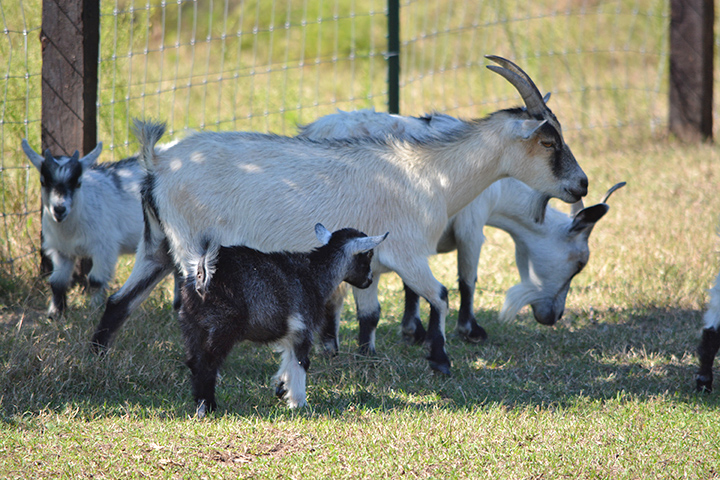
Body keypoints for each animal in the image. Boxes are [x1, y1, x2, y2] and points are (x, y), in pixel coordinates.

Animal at [21, 140, 147, 318]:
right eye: (43, 181)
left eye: (78, 182)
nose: (59, 209)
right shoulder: (61, 251)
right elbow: (57, 282)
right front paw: (55, 313)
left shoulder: (104, 248)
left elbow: (95, 280)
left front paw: (94, 310)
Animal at [91, 55, 588, 375]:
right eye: (548, 141)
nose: (580, 184)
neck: (429, 174)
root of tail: (158, 162)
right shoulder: (409, 253)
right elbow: (442, 294)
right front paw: (441, 360)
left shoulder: (373, 261)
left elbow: (371, 314)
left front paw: (364, 359)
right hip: (192, 248)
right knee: (181, 304)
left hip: (158, 244)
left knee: (118, 301)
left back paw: (97, 359)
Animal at [180, 223, 387, 415]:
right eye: (369, 254)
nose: (368, 281)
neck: (314, 274)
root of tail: (202, 273)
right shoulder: (304, 329)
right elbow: (301, 363)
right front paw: (299, 402)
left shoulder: (292, 332)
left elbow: (288, 361)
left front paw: (281, 388)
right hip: (223, 325)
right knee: (207, 363)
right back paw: (207, 407)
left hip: (192, 324)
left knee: (193, 361)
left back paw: (200, 403)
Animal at [298, 109, 625, 345]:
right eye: (580, 263)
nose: (554, 316)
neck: (498, 187)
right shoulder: (471, 226)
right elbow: (467, 278)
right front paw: (469, 330)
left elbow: (411, 285)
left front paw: (413, 330)